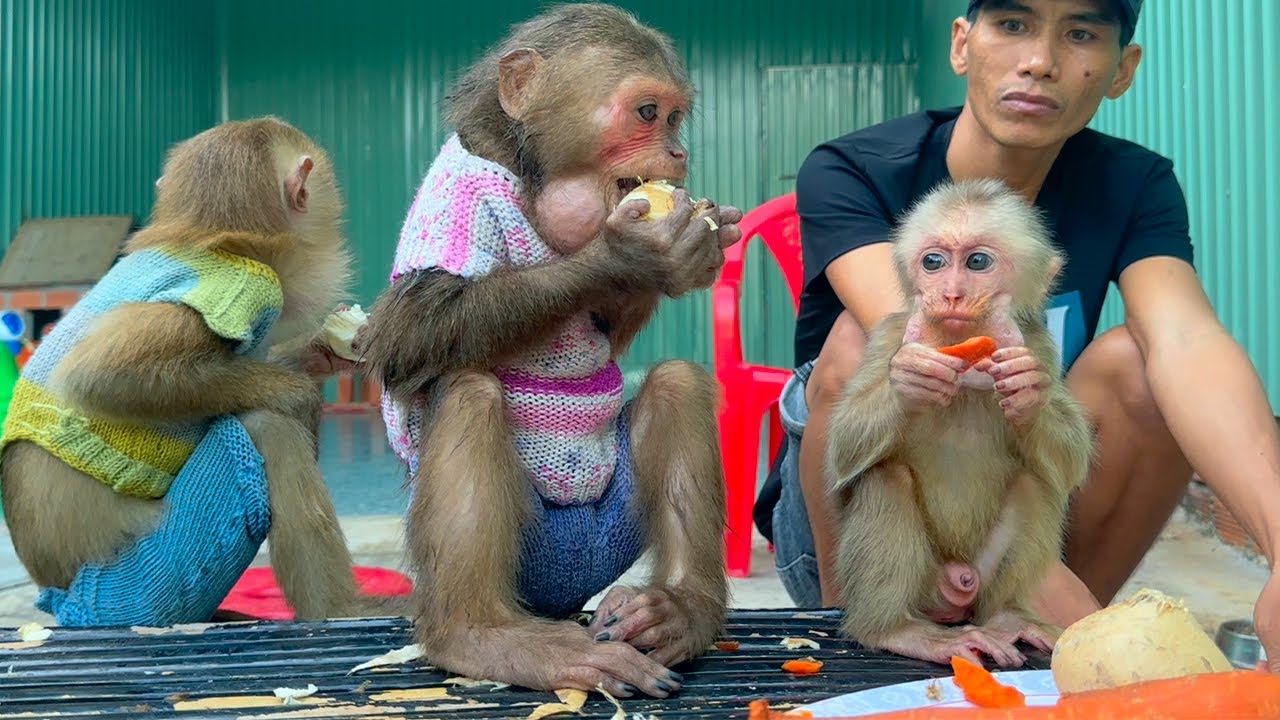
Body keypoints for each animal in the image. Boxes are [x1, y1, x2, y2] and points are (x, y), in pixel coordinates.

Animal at [0, 117, 393, 625]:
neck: (208, 237)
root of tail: (61, 599)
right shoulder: (243, 284)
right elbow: (97, 375)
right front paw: (300, 393)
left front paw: (326, 350)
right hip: (146, 584)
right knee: (264, 427)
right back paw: (338, 607)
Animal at [357, 3, 743, 699]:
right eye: (648, 112)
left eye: (675, 117)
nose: (677, 149)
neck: (533, 178)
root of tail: (567, 594)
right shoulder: (456, 197)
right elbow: (407, 335)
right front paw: (627, 254)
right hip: (532, 563)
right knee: (467, 388)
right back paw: (480, 635)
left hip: (609, 534)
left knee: (679, 384)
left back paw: (679, 608)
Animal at [823, 178, 1093, 667]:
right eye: (933, 262)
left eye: (977, 262)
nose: (949, 294)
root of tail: (956, 584)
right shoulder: (891, 335)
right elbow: (843, 451)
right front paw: (910, 381)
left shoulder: (1039, 344)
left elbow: (1070, 464)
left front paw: (1029, 391)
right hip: (928, 587)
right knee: (885, 476)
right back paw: (892, 630)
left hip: (977, 580)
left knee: (1036, 483)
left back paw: (1005, 617)